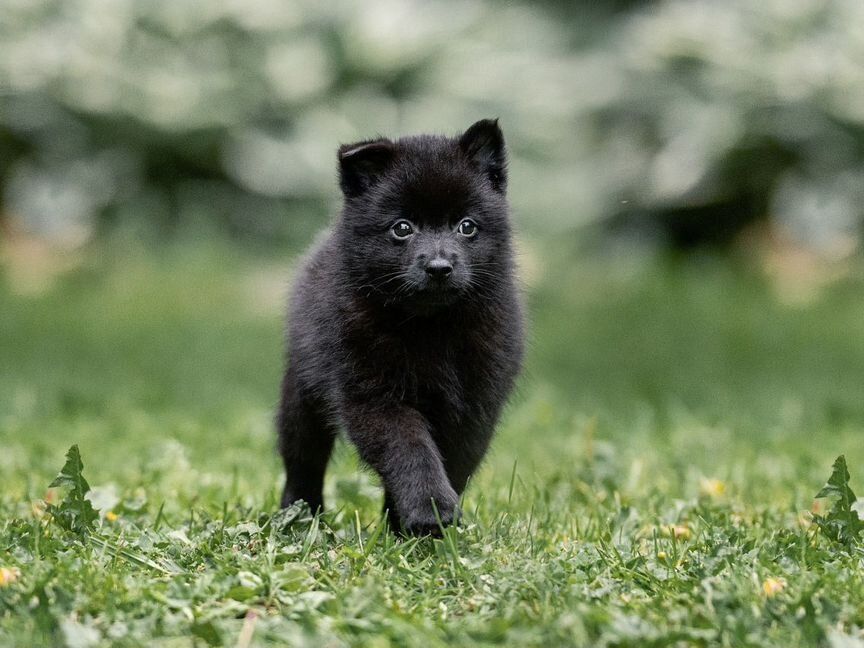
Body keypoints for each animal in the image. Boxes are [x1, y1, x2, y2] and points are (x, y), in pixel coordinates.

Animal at [276, 119, 524, 536]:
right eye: (402, 228)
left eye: (467, 227)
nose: (439, 267)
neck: (431, 326)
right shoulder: (373, 394)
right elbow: (409, 448)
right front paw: (428, 509)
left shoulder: (475, 405)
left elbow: (453, 462)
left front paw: (410, 525)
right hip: (302, 393)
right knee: (303, 458)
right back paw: (298, 516)